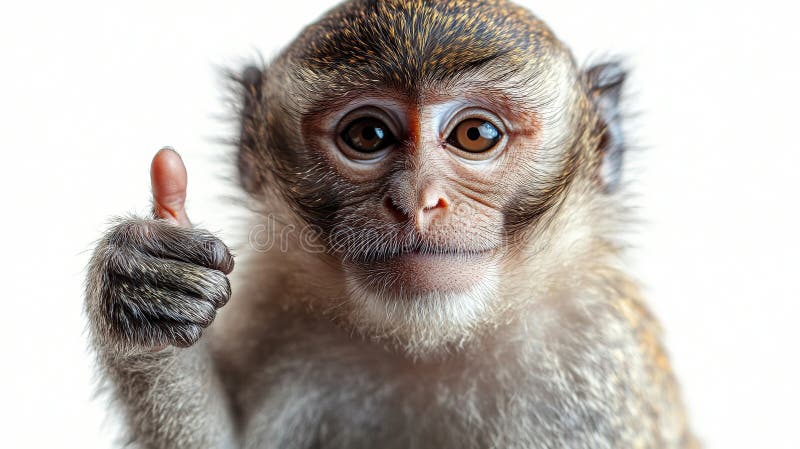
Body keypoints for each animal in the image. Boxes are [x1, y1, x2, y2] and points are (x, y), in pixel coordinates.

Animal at [85, 1, 697, 448]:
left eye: (476, 135)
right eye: (368, 136)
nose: (417, 201)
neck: (429, 343)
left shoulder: (593, 356)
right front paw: (143, 287)